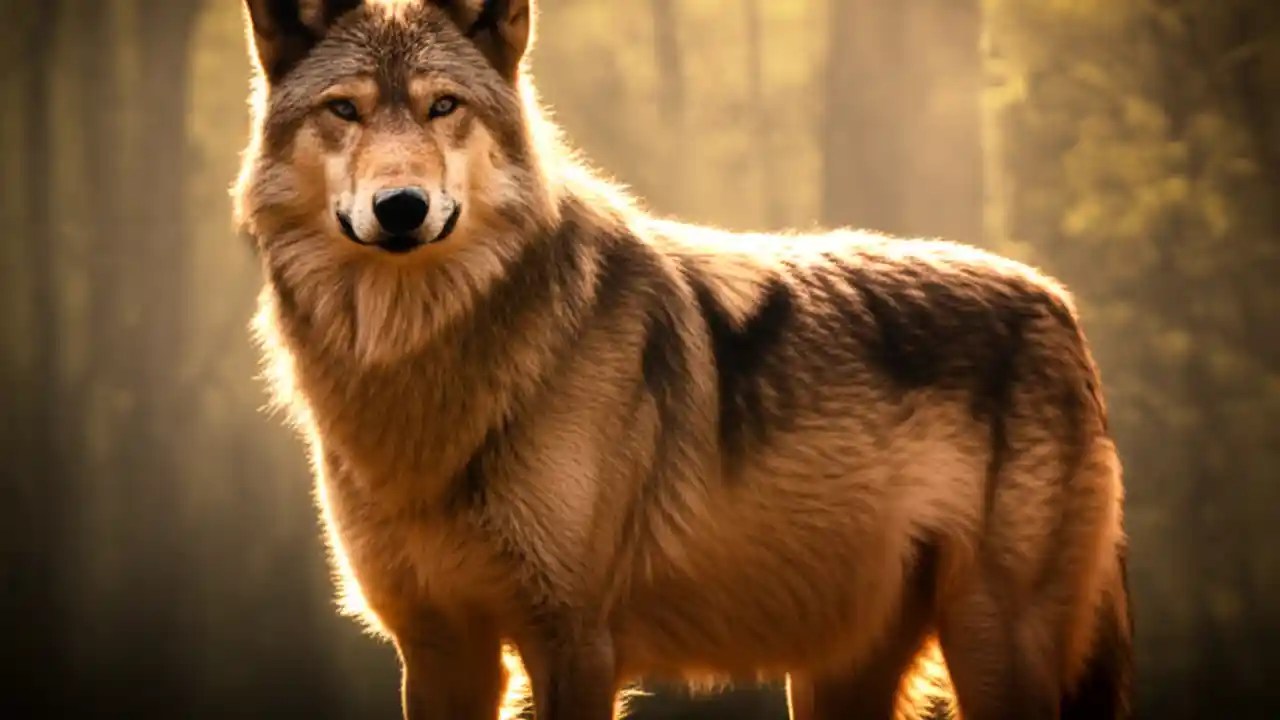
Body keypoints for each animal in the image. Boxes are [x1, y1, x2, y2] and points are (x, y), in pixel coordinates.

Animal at [235, 1, 1133, 719]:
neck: (423, 369)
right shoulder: (437, 649)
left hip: (993, 647)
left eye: (441, 107)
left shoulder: (574, 640)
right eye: (345, 110)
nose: (401, 208)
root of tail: (1058, 305)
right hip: (837, 675)